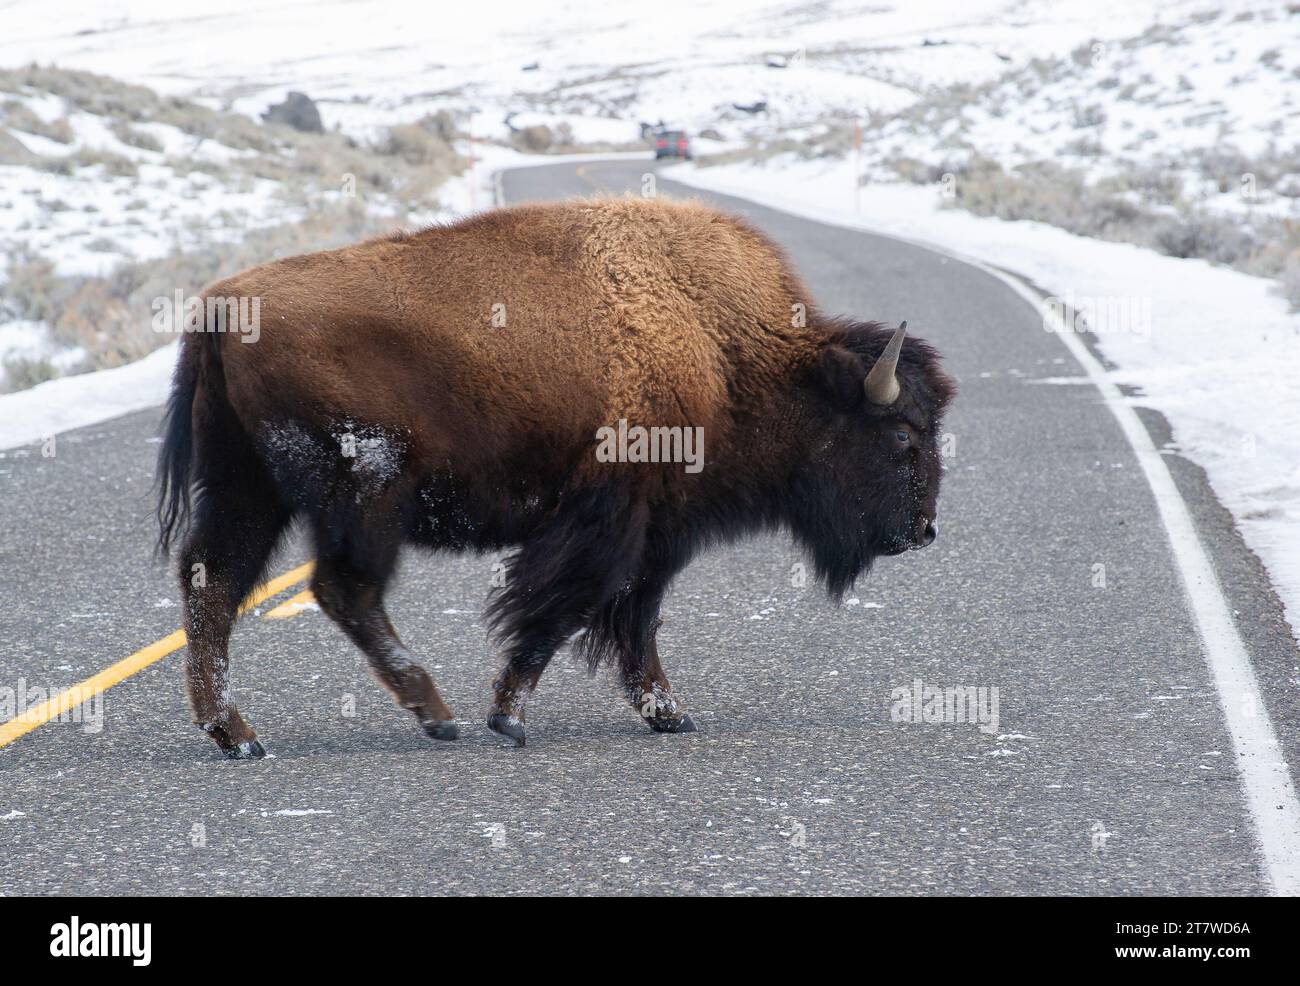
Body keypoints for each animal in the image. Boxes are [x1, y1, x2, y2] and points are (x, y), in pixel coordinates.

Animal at [156, 196, 955, 757]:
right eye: (902, 436)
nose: (924, 530)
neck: (727, 349)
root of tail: (221, 307)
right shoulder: (612, 518)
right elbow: (571, 606)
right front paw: (509, 715)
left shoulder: (657, 532)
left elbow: (634, 617)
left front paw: (670, 714)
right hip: (366, 494)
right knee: (339, 588)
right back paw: (436, 717)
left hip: (249, 490)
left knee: (214, 582)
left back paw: (238, 736)